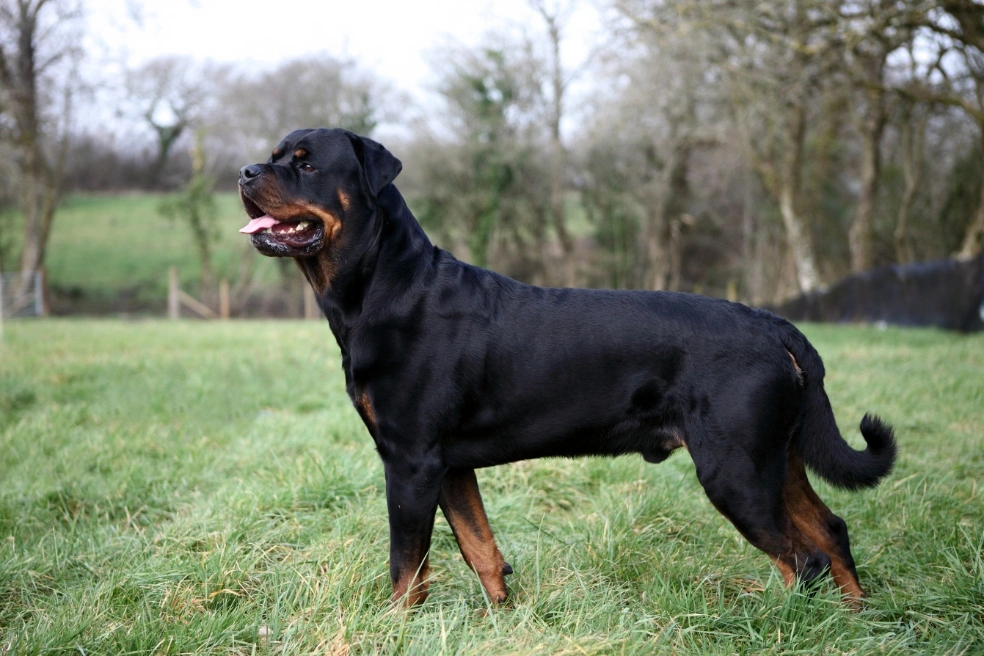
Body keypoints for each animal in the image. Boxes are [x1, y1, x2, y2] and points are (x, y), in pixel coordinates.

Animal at [236, 129, 892, 608]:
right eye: (274, 156)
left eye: (305, 165)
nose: (244, 172)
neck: (385, 286)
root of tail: (776, 326)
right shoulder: (449, 466)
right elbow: (480, 549)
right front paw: (500, 619)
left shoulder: (410, 462)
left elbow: (407, 569)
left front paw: (397, 627)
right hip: (777, 459)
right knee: (831, 532)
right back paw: (856, 618)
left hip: (735, 469)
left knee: (801, 558)